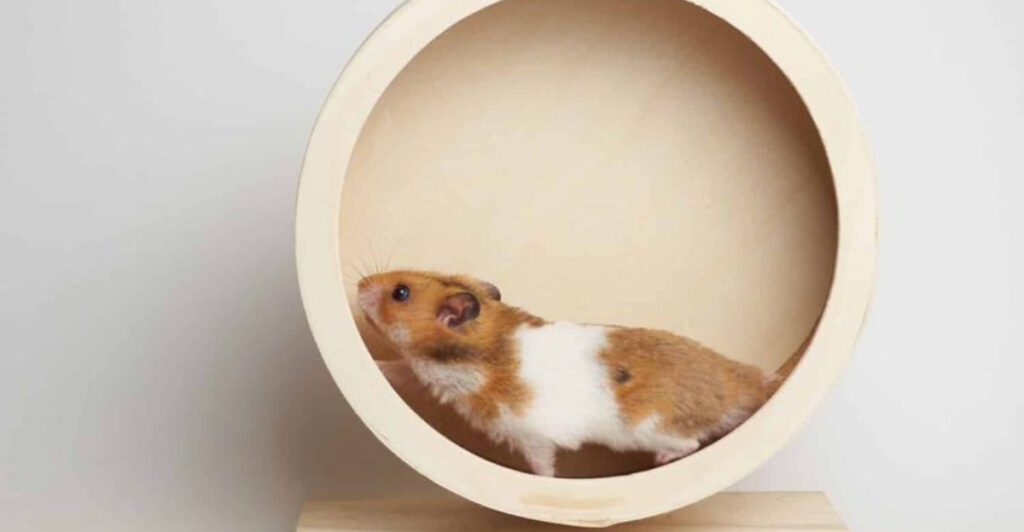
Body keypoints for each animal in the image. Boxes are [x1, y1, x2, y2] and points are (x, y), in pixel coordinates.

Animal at [356, 270, 802, 477]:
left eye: (400, 292)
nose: (359, 284)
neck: (482, 349)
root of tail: (747, 382)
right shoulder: (423, 375)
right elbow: (398, 369)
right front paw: (372, 365)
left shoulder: (530, 435)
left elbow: (543, 464)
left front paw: (545, 484)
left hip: (651, 427)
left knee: (690, 443)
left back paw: (661, 459)